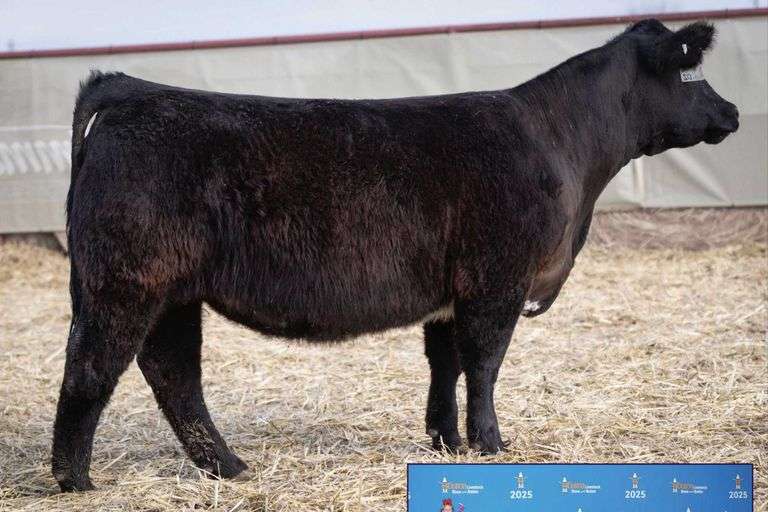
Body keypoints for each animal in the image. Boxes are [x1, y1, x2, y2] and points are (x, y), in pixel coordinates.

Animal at [53, 19, 738, 491]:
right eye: (693, 75)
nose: (732, 111)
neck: (560, 146)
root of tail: (131, 90)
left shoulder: (452, 293)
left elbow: (447, 365)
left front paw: (445, 441)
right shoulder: (496, 280)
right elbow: (485, 365)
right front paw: (491, 444)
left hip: (173, 291)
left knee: (173, 373)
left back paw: (228, 466)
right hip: (126, 280)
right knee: (94, 367)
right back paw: (75, 479)